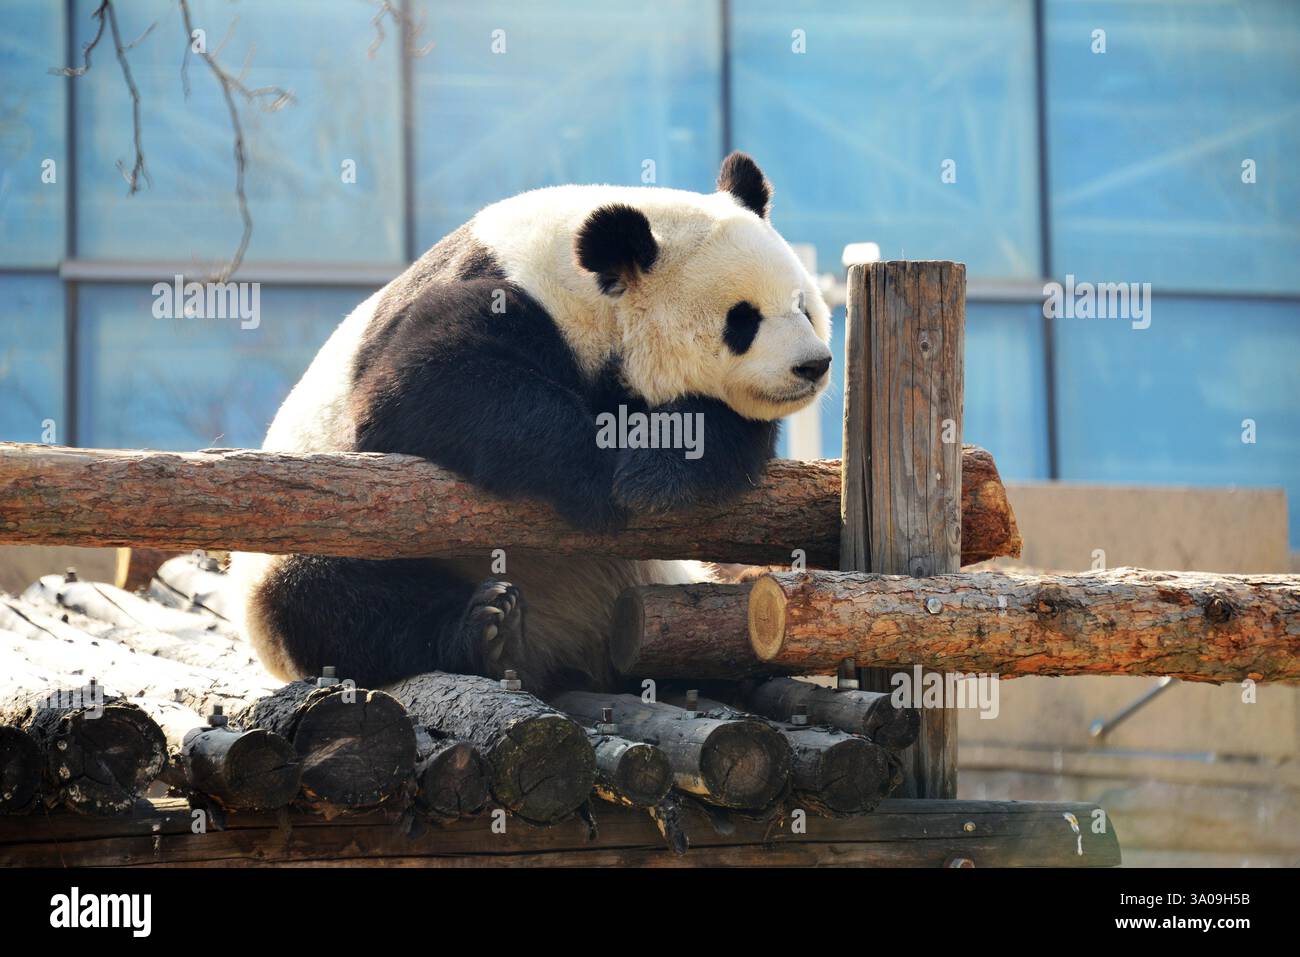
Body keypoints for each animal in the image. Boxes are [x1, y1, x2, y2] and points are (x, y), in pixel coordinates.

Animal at [230, 152, 832, 698]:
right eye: (742, 319)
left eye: (803, 305)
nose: (814, 364)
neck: (585, 285)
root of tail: (569, 650)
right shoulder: (502, 295)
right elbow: (419, 388)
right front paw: (605, 477)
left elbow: (726, 427)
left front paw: (660, 467)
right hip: (314, 547)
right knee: (333, 599)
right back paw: (486, 630)